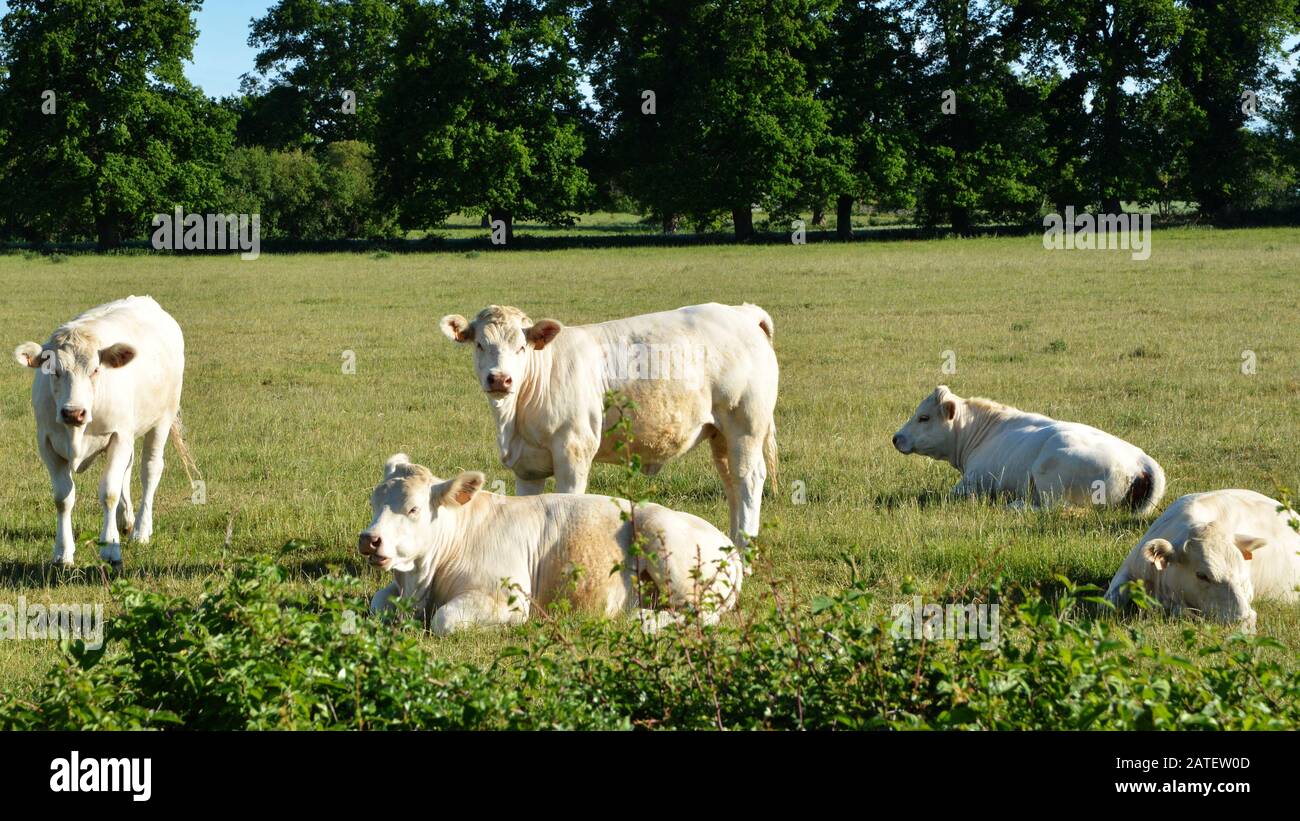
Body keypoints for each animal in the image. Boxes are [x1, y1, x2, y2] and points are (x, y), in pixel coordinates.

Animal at [12, 296, 193, 567]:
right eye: (54, 370)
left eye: (96, 370)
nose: (73, 412)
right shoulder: (47, 444)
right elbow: (63, 498)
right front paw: (63, 552)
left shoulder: (118, 437)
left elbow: (109, 492)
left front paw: (110, 548)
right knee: (127, 469)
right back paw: (125, 520)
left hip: (163, 418)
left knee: (150, 470)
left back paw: (141, 529)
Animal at [359, 454, 744, 634]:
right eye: (374, 502)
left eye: (413, 508)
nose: (370, 539)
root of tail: (729, 545)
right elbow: (377, 603)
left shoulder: (507, 599)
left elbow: (444, 620)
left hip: (666, 547)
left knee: (699, 616)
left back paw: (642, 618)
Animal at [438, 302, 779, 546]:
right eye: (480, 345)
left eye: (521, 347)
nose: (500, 378)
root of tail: (741, 312)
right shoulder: (527, 467)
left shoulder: (573, 453)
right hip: (721, 436)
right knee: (732, 484)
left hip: (745, 427)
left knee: (749, 481)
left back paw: (744, 551)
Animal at [891, 385, 1165, 514]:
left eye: (924, 417)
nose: (896, 438)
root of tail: (1141, 459)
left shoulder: (974, 481)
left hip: (1049, 476)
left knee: (1055, 508)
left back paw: (1015, 506)